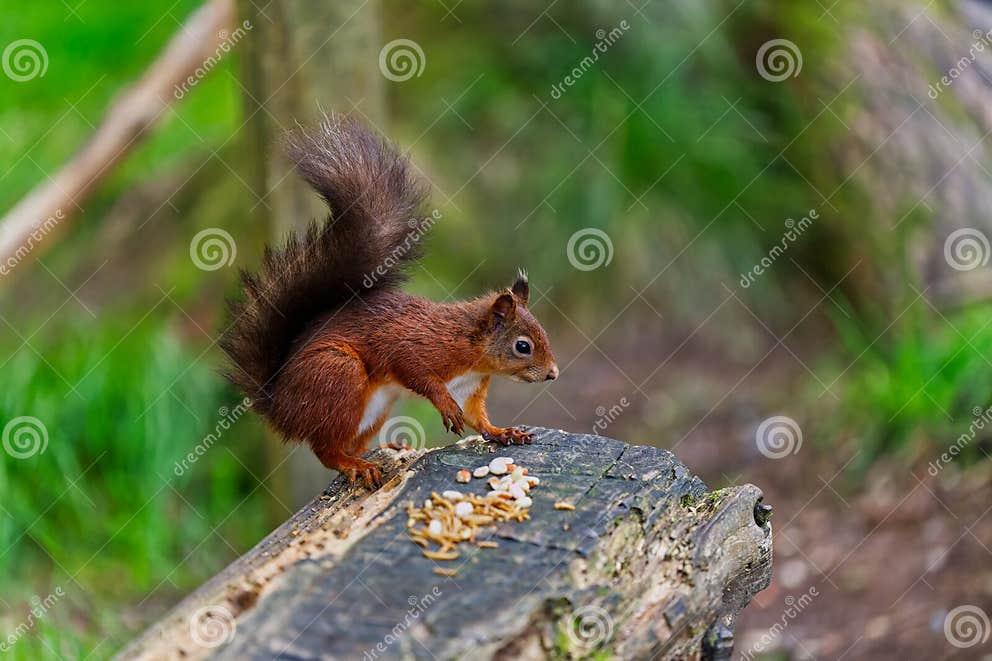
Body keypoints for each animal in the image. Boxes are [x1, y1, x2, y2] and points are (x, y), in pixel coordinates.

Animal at [220, 117, 559, 487]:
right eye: (523, 346)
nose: (553, 373)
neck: (472, 351)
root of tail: (279, 407)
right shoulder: (417, 346)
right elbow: (417, 372)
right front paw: (446, 406)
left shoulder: (470, 387)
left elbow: (478, 418)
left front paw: (503, 432)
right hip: (337, 374)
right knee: (325, 451)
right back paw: (355, 464)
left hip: (375, 410)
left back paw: (380, 450)